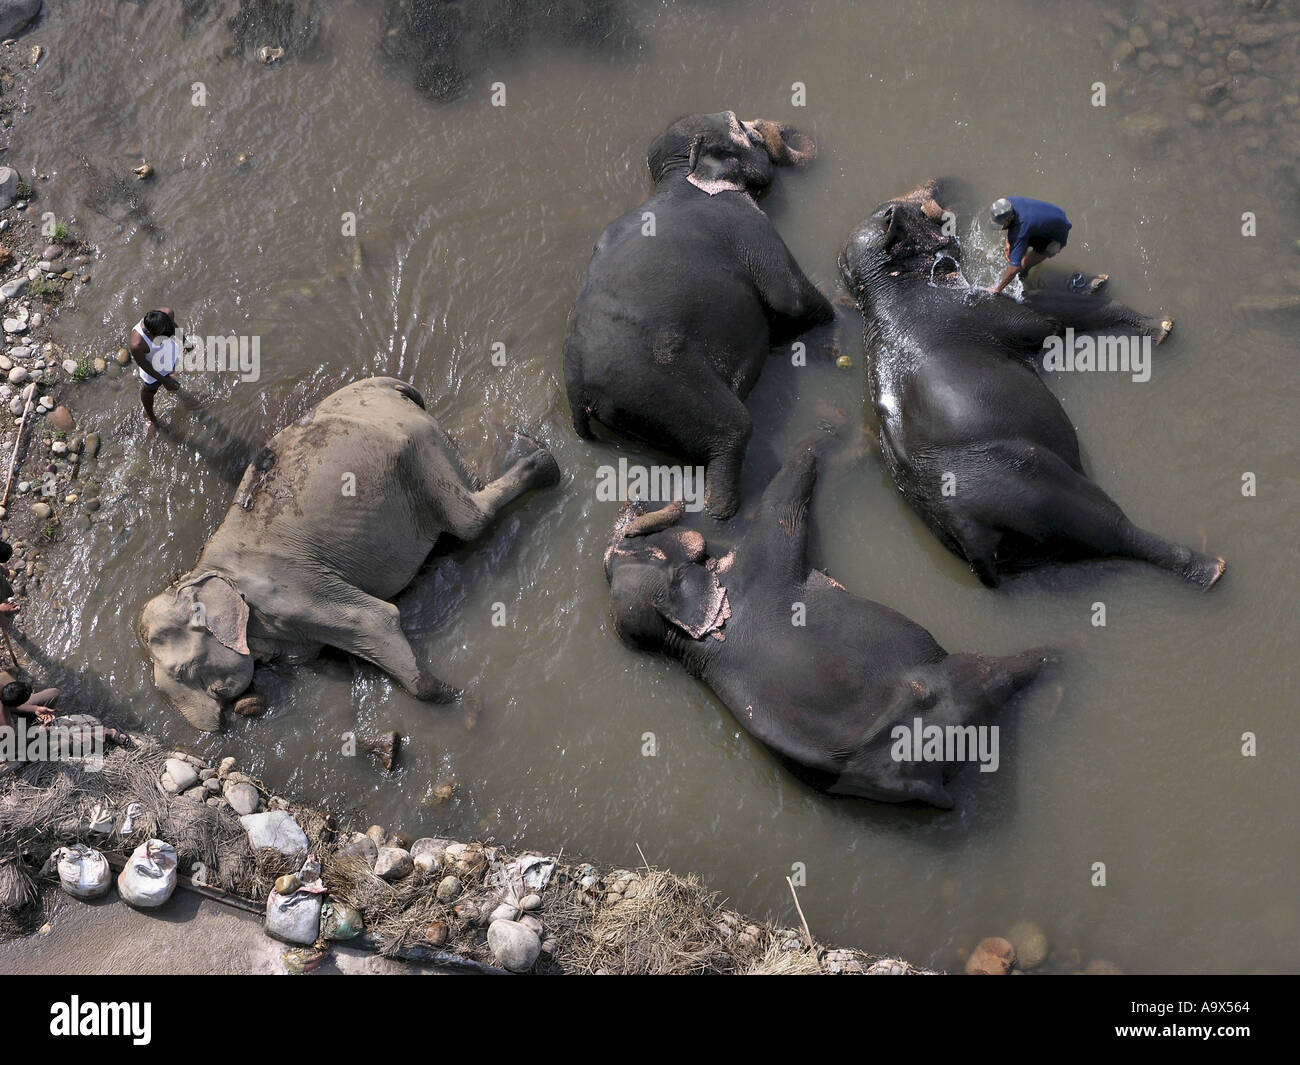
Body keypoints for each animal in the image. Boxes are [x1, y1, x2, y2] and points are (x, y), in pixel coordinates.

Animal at [139, 377, 560, 731]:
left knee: (469, 521)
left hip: (418, 449)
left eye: (185, 672)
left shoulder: (291, 594)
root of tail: (384, 384)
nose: (217, 726)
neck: (202, 570)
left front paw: (462, 705)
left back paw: (543, 463)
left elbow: (377, 620)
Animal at [564, 110, 835, 519]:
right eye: (740, 125)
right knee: (734, 432)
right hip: (662, 388)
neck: (679, 180)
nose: (759, 127)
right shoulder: (746, 222)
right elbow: (792, 300)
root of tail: (579, 392)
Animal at [603, 436, 1051, 808]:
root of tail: (929, 785)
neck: (679, 639)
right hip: (948, 692)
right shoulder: (764, 566)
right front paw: (819, 442)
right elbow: (781, 511)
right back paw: (1056, 656)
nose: (636, 498)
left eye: (616, 559)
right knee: (991, 673)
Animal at [838, 180, 1226, 590]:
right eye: (892, 210)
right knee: (1110, 526)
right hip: (1034, 486)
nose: (918, 198)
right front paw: (1162, 326)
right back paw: (1212, 569)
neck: (884, 283)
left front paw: (1091, 283)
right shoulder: (977, 310)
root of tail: (970, 536)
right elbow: (1047, 321)